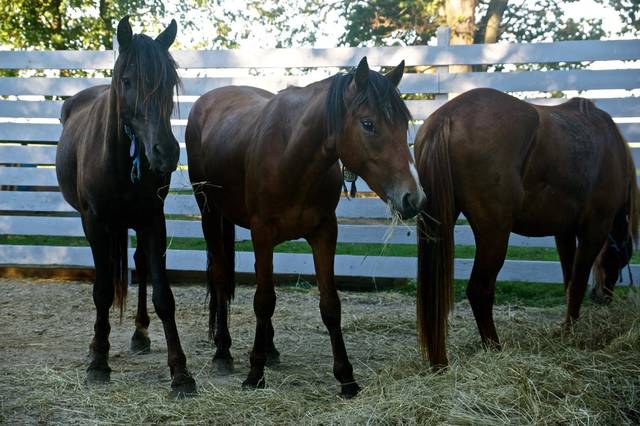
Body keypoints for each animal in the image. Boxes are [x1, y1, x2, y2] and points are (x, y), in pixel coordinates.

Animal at [56, 16, 196, 396]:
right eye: (128, 80)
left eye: (170, 82)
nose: (166, 152)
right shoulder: (94, 223)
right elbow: (102, 291)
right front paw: (98, 362)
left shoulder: (152, 220)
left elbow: (164, 295)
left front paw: (180, 372)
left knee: (140, 265)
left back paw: (139, 333)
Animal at [186, 57, 426, 397]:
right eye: (368, 124)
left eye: (405, 124)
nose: (413, 197)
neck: (292, 154)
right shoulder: (262, 232)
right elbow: (263, 301)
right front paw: (254, 372)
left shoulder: (324, 232)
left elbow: (329, 304)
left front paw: (346, 377)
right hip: (209, 211)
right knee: (220, 277)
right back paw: (223, 352)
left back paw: (270, 349)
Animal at [414, 87, 638, 368]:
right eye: (622, 257)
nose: (603, 297)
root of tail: (447, 115)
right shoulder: (594, 231)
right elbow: (577, 283)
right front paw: (569, 332)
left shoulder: (563, 232)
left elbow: (568, 280)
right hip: (495, 234)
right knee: (479, 290)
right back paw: (495, 349)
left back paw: (439, 363)